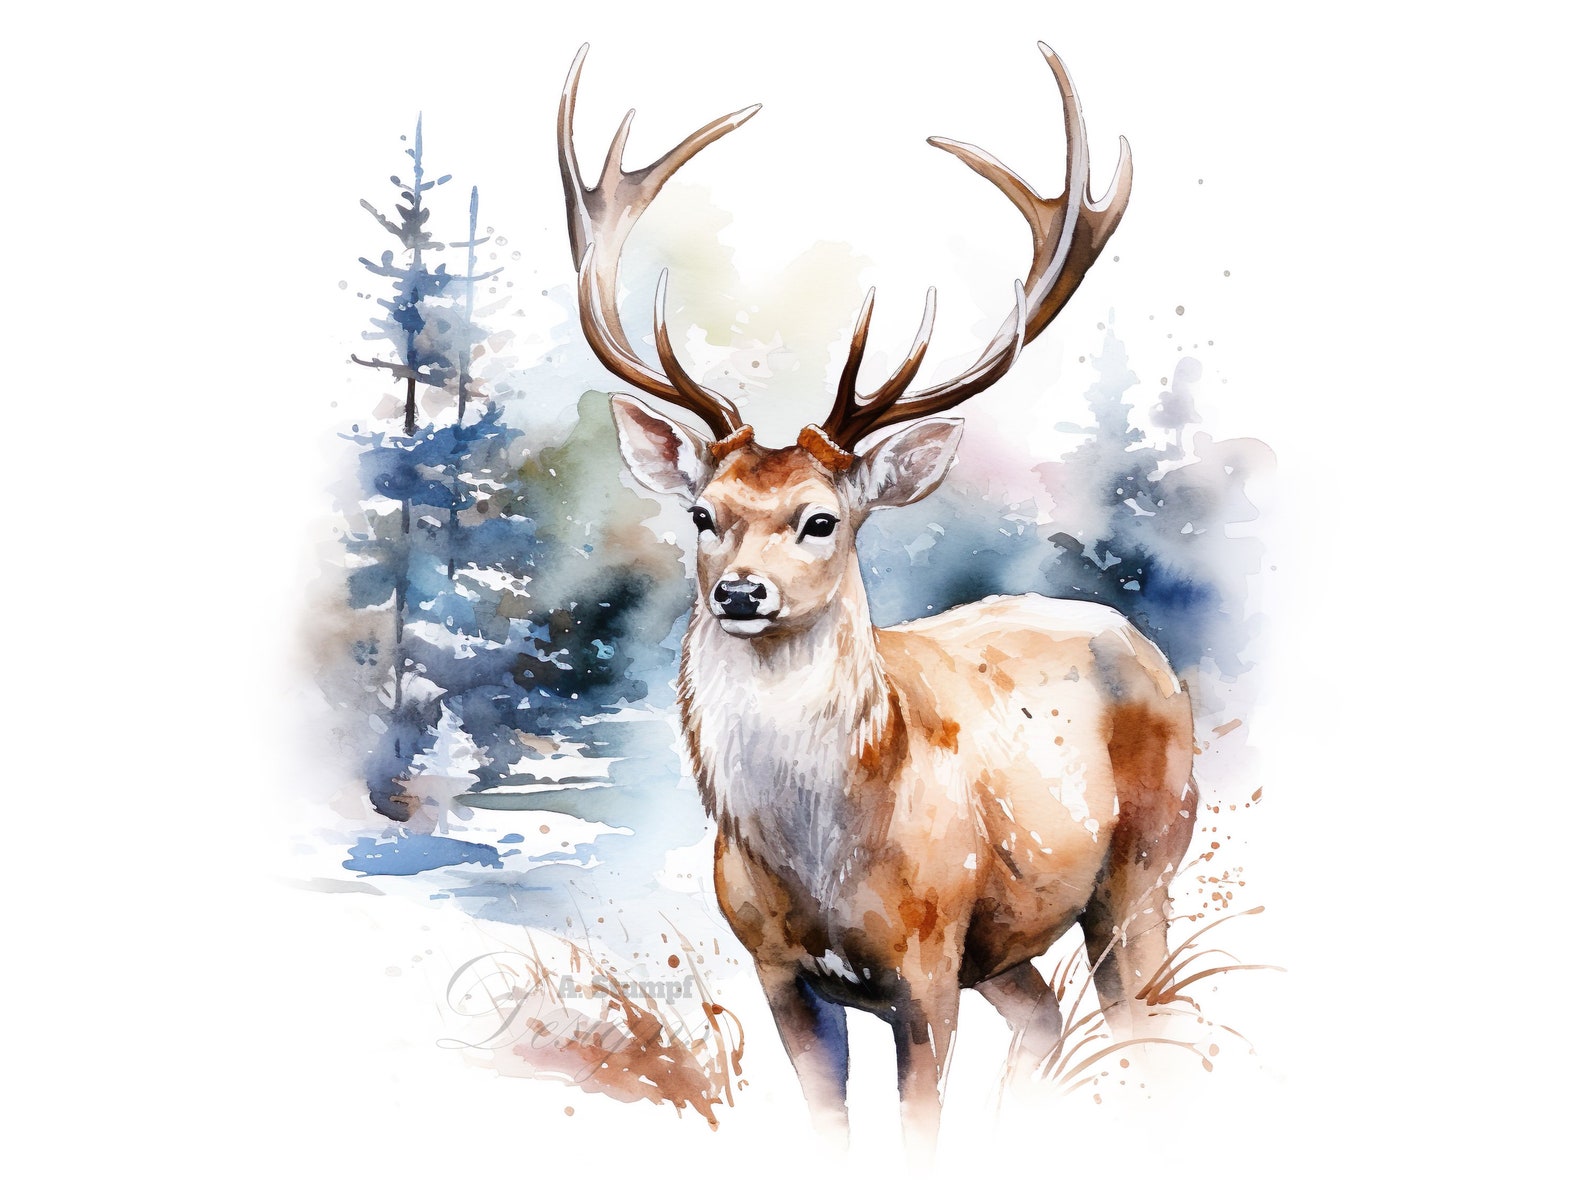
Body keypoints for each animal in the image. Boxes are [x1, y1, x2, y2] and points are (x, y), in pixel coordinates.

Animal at [556, 43, 1197, 1147]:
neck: (823, 862)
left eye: (822, 520)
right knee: (1048, 1019)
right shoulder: (776, 970)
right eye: (702, 513)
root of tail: (1139, 638)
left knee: (1146, 1028)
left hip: (1142, 868)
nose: (740, 593)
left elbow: (919, 1124)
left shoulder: (928, 962)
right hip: (1015, 941)